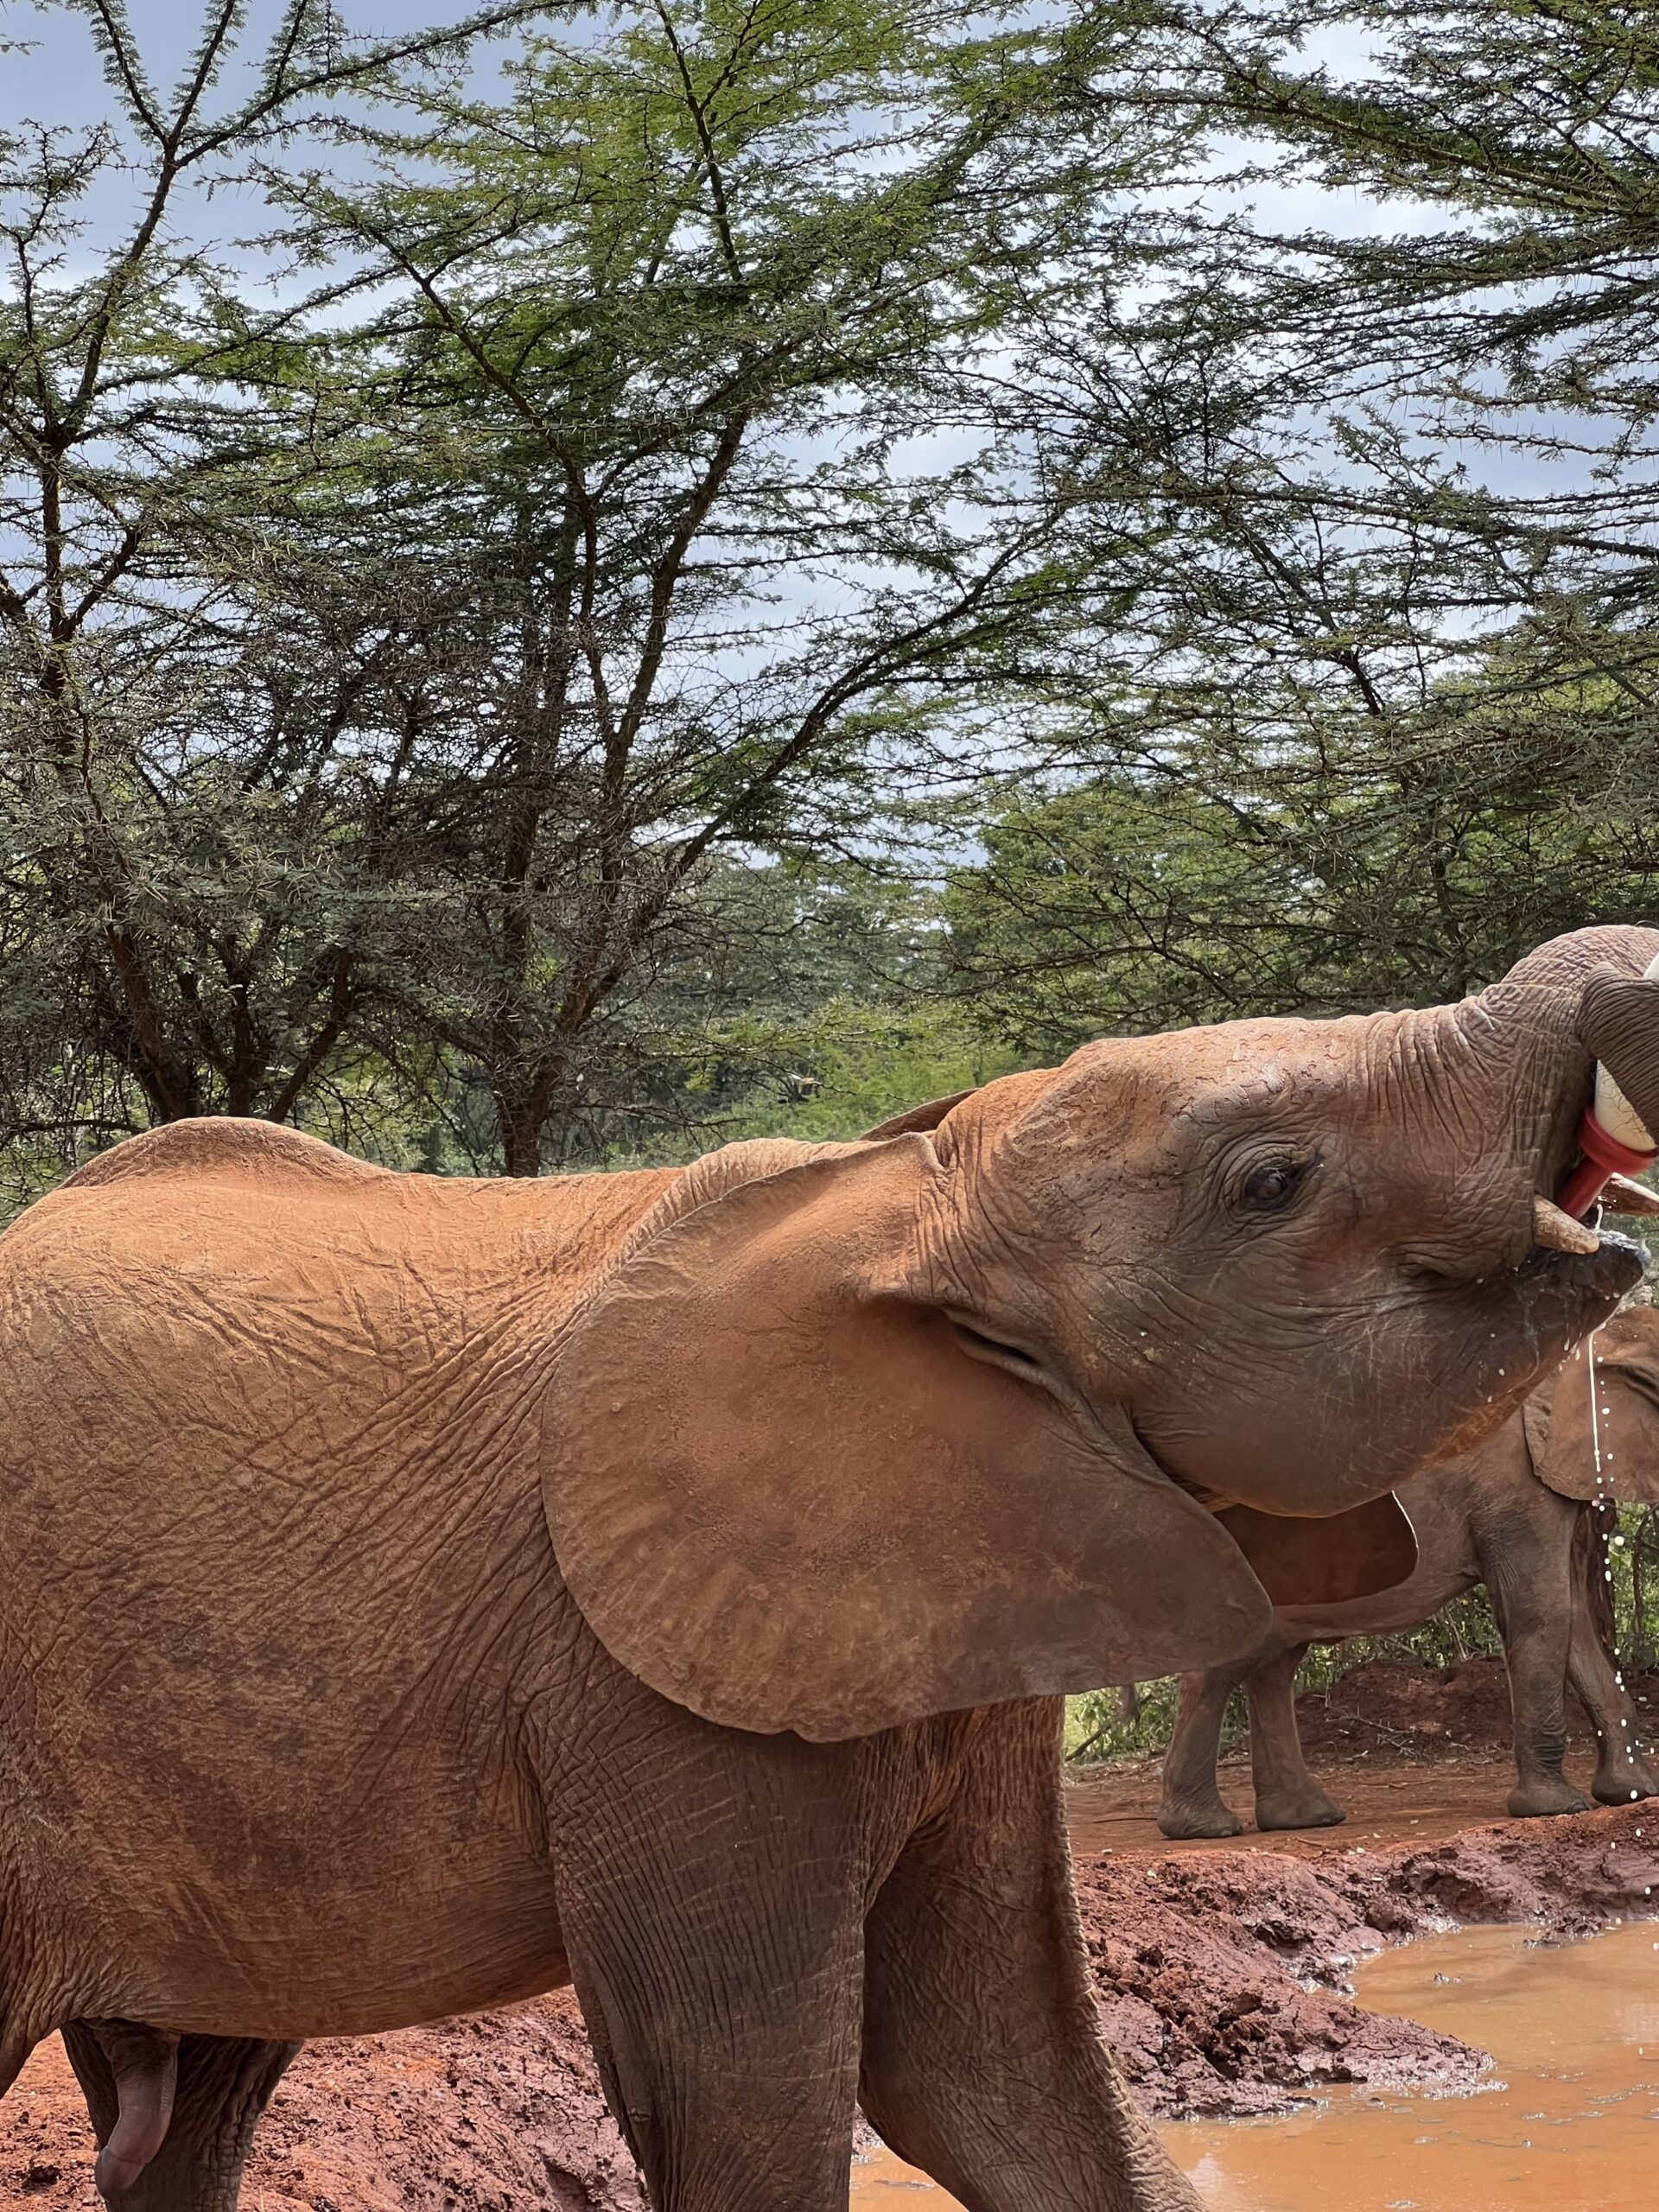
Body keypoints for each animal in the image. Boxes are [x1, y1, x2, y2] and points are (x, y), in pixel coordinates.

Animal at [1157, 1301, 1659, 1839]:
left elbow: (1574, 1620)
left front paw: (1635, 1794)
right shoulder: (1513, 1482)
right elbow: (1541, 1611)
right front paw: (1557, 1808)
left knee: (1273, 1663)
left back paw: (1305, 1817)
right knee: (1227, 1662)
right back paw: (1205, 1827)